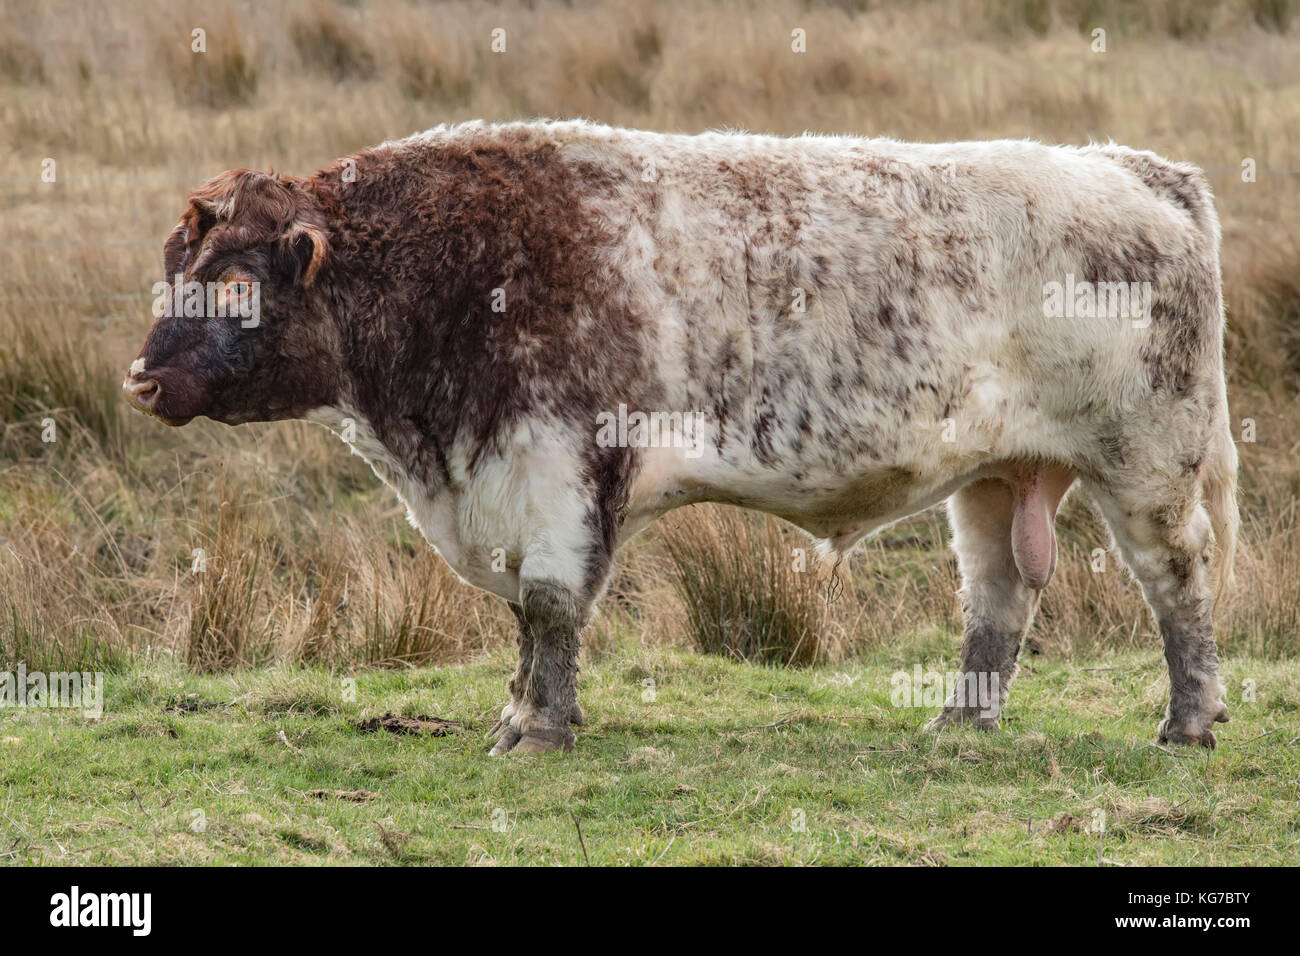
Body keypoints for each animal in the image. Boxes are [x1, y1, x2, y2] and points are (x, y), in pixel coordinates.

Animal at [124, 120, 1238, 754]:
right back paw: (961, 720)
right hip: (998, 475)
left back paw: (1188, 720)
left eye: (237, 282)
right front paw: (517, 713)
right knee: (998, 596)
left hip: (1148, 461)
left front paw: (537, 729)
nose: (142, 377)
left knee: (1179, 580)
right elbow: (528, 620)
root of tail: (1132, 167)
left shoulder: (558, 469)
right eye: (174, 267)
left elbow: (549, 606)